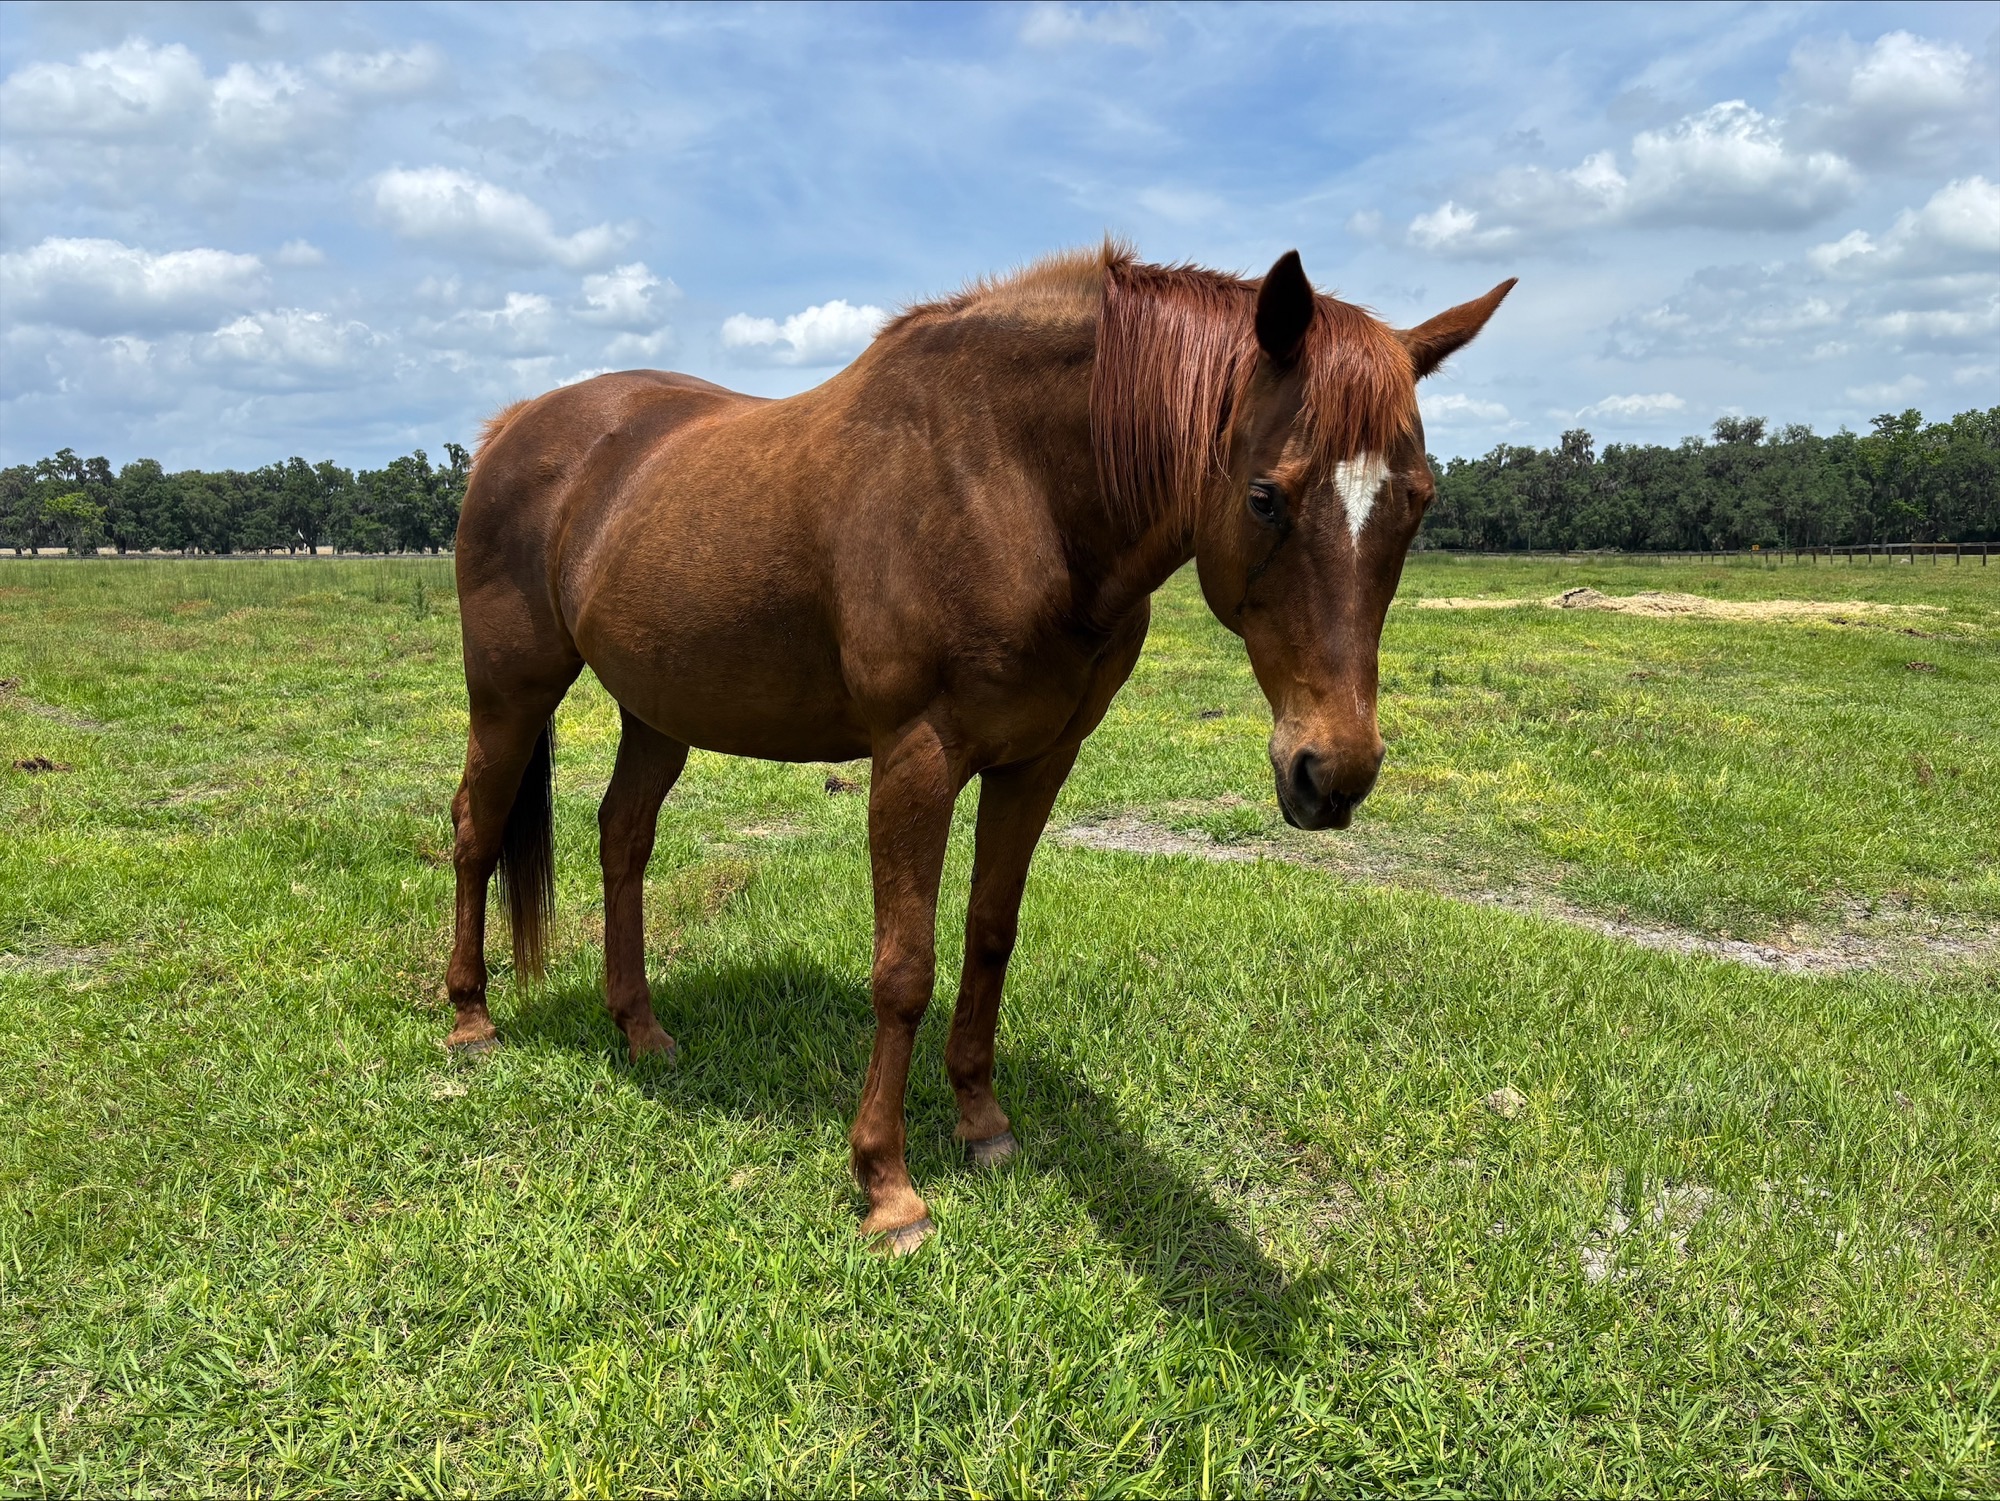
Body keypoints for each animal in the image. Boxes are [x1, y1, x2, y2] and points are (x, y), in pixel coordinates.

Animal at [445, 243, 1513, 1253]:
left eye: (1418, 501)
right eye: (1264, 497)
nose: (1332, 773)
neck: (1011, 484)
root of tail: (513, 426)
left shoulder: (1036, 762)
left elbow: (989, 935)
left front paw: (982, 1122)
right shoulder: (915, 760)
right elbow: (905, 966)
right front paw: (887, 1184)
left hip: (658, 709)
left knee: (623, 836)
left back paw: (641, 1029)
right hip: (510, 690)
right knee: (475, 829)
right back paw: (469, 1019)